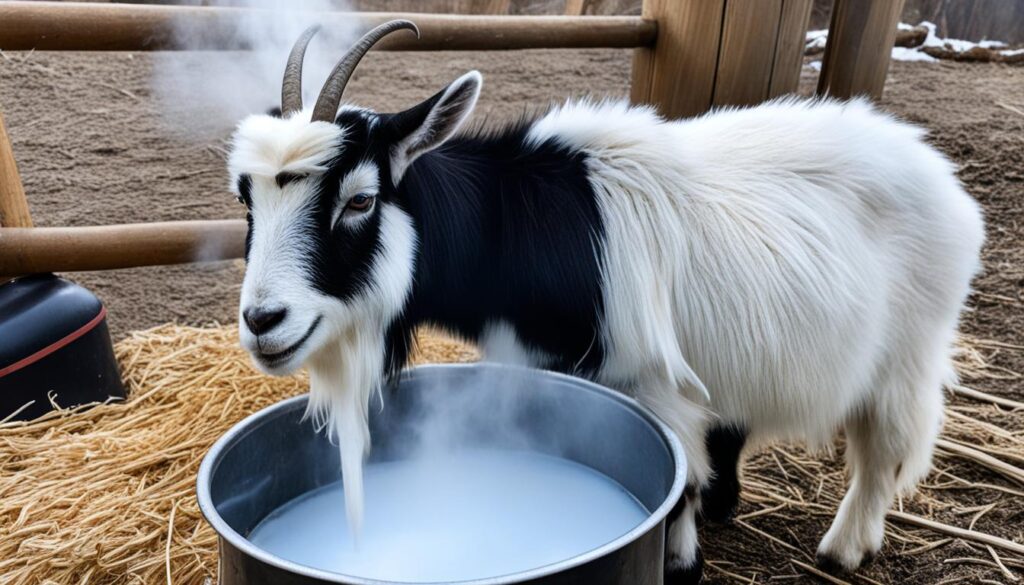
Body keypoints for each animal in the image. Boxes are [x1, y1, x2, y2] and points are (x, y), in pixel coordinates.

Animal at [229, 21, 985, 583]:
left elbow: (678, 480)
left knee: (887, 443)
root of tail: (939, 173)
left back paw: (846, 546)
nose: (264, 322)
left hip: (908, 349)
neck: (517, 222)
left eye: (359, 200)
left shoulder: (654, 384)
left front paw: (680, 562)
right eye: (246, 198)